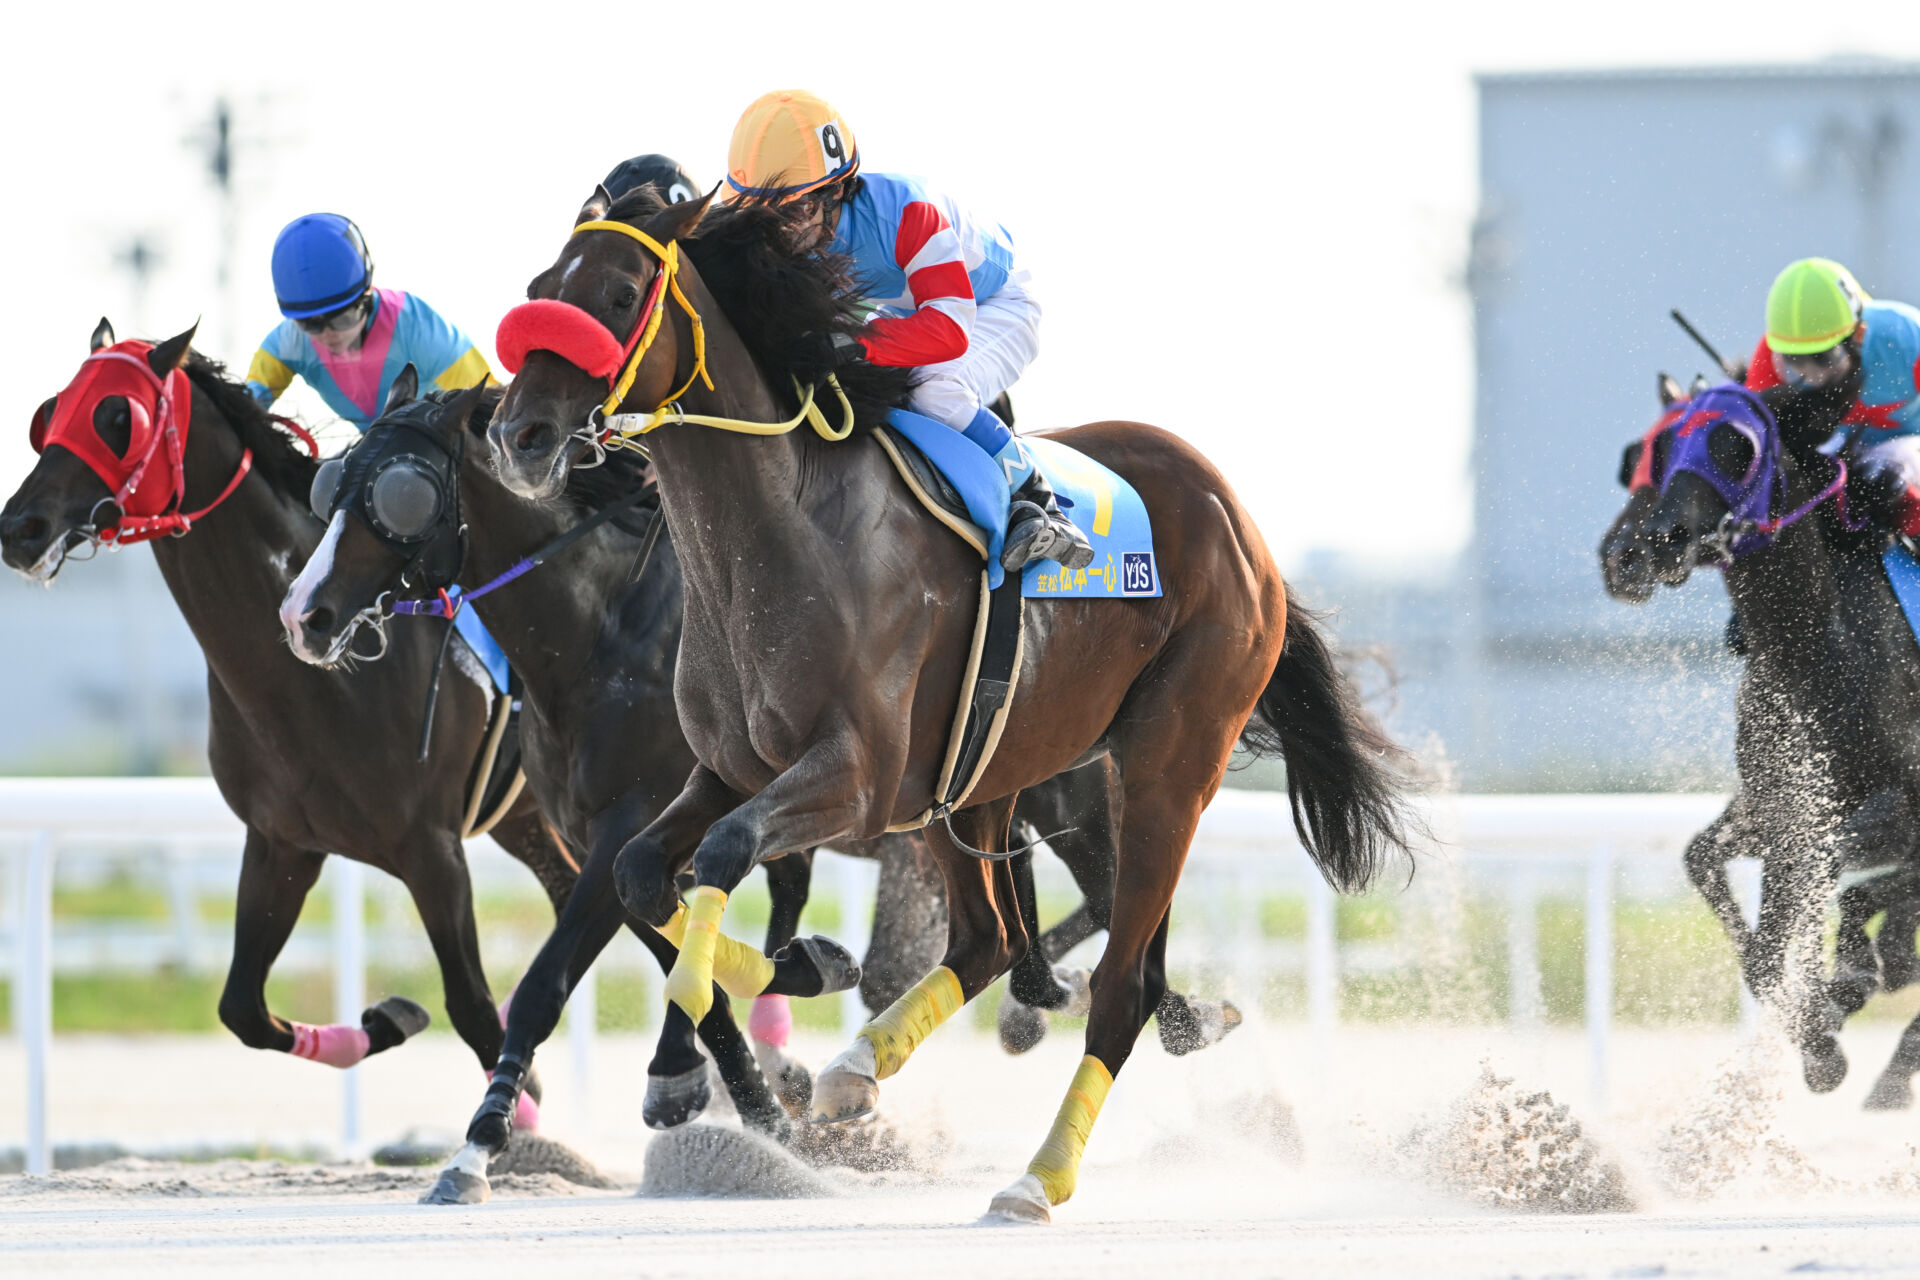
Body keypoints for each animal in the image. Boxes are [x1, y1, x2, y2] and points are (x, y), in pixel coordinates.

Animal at [0, 321, 572, 1113]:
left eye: (117, 418)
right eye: (50, 412)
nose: (20, 528)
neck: (316, 682)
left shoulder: (432, 850)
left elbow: (474, 1011)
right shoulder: (282, 842)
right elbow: (242, 1008)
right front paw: (388, 1017)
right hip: (527, 819)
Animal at [475, 186, 1418, 1221]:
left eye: (619, 291)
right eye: (541, 283)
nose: (517, 437)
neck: (784, 533)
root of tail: (1238, 519)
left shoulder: (857, 777)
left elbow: (721, 854)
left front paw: (794, 979)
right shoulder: (727, 771)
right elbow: (647, 871)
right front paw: (803, 975)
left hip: (1168, 765)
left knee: (1122, 987)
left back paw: (1037, 1177)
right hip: (978, 783)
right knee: (991, 939)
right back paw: (859, 1067)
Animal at [1599, 380, 1920, 1107]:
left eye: (1735, 445)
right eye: (1653, 450)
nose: (1637, 549)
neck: (1815, 642)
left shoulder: (1890, 812)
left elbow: (1835, 884)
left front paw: (1836, 1006)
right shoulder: (1778, 804)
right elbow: (1717, 881)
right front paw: (1821, 1040)